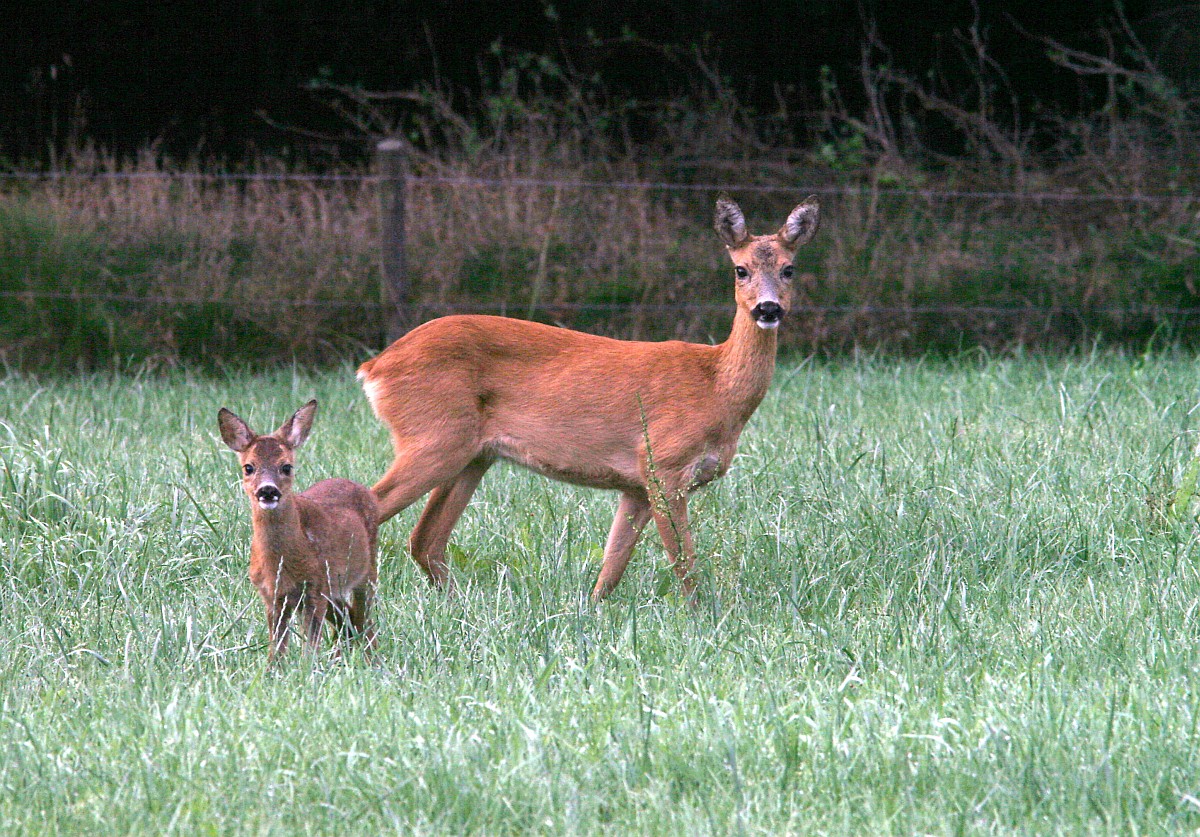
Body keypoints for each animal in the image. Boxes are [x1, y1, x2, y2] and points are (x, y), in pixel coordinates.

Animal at [218, 400, 379, 661]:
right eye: (248, 467)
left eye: (286, 467)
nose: (268, 490)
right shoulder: (272, 595)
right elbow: (276, 647)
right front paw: (273, 668)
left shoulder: (316, 587)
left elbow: (310, 648)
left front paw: (308, 668)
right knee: (347, 617)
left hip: (366, 570)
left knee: (363, 616)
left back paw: (369, 655)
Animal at [357, 194, 819, 602]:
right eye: (740, 269)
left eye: (789, 269)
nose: (768, 309)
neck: (716, 386)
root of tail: (374, 367)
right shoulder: (664, 464)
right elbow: (683, 562)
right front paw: (702, 616)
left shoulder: (635, 483)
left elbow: (612, 568)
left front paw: (594, 613)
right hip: (434, 436)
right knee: (373, 507)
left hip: (473, 454)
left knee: (425, 539)